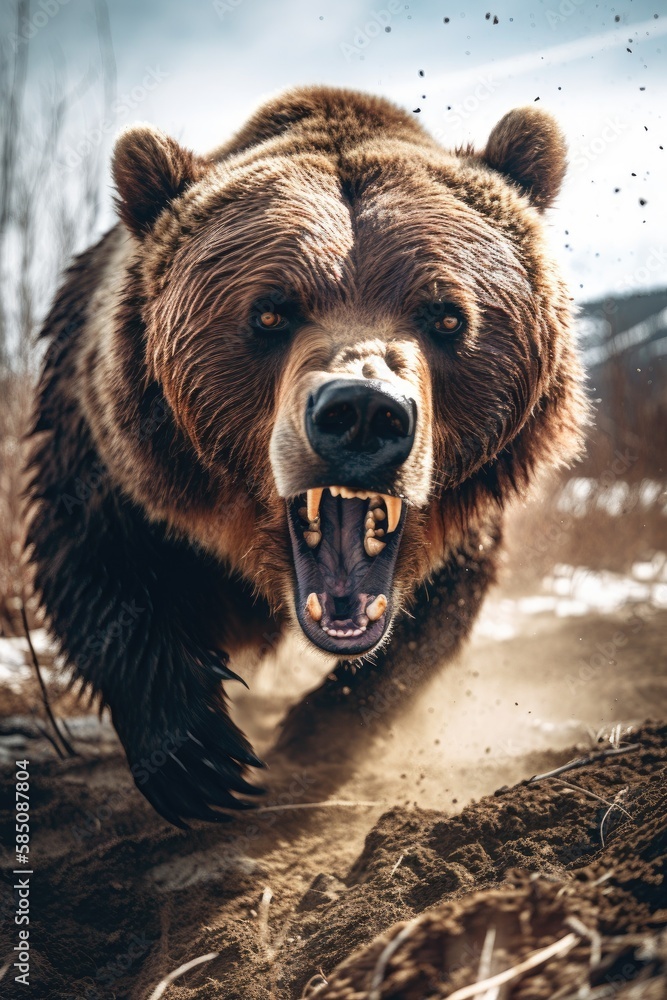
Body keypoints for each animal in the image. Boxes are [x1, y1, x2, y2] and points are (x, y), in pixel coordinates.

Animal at [25, 87, 587, 826]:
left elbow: (435, 606)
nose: (363, 413)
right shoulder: (110, 454)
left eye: (445, 314)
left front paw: (316, 729)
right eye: (269, 312)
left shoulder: (462, 502)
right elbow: (96, 565)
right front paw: (200, 759)